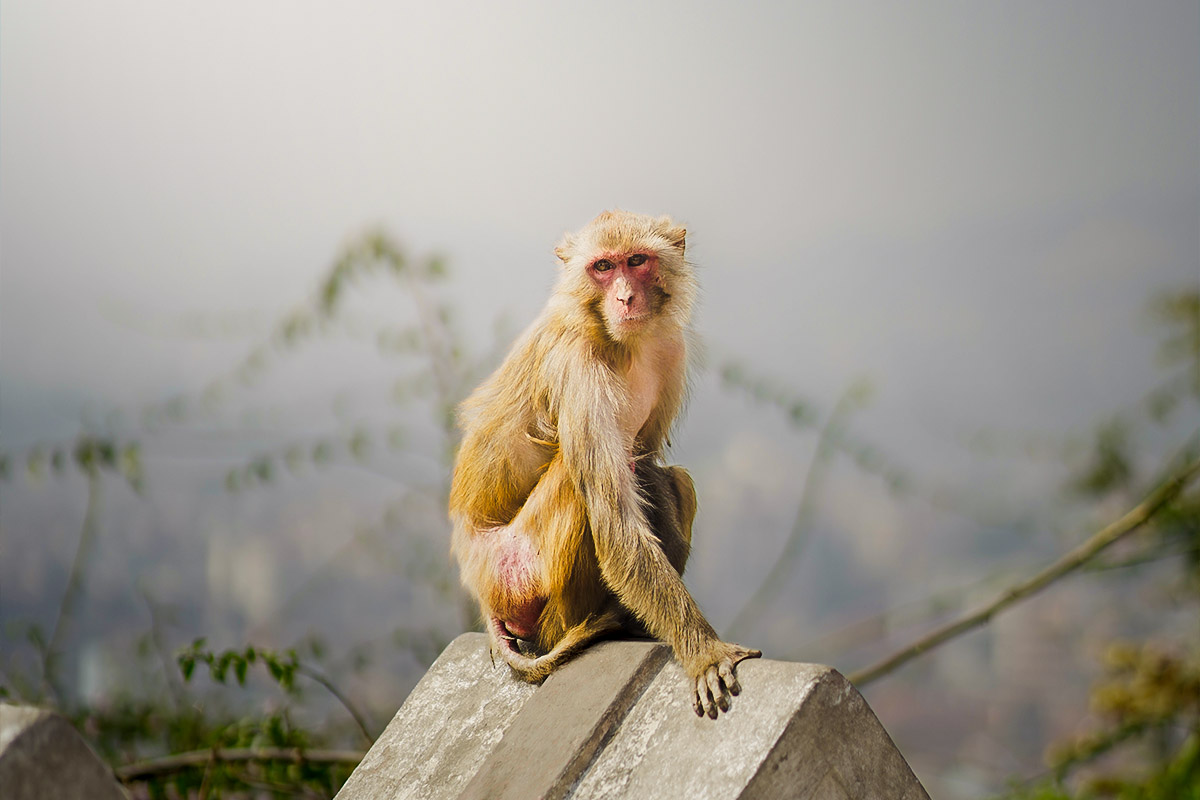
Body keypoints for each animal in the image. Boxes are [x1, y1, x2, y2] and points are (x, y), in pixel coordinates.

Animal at [449, 210, 760, 718]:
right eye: (602, 267)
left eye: (636, 261)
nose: (625, 296)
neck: (619, 341)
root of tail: (478, 582)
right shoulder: (577, 367)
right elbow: (615, 524)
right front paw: (703, 650)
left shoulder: (670, 348)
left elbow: (645, 459)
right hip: (517, 573)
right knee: (581, 489)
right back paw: (587, 627)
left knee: (671, 478)